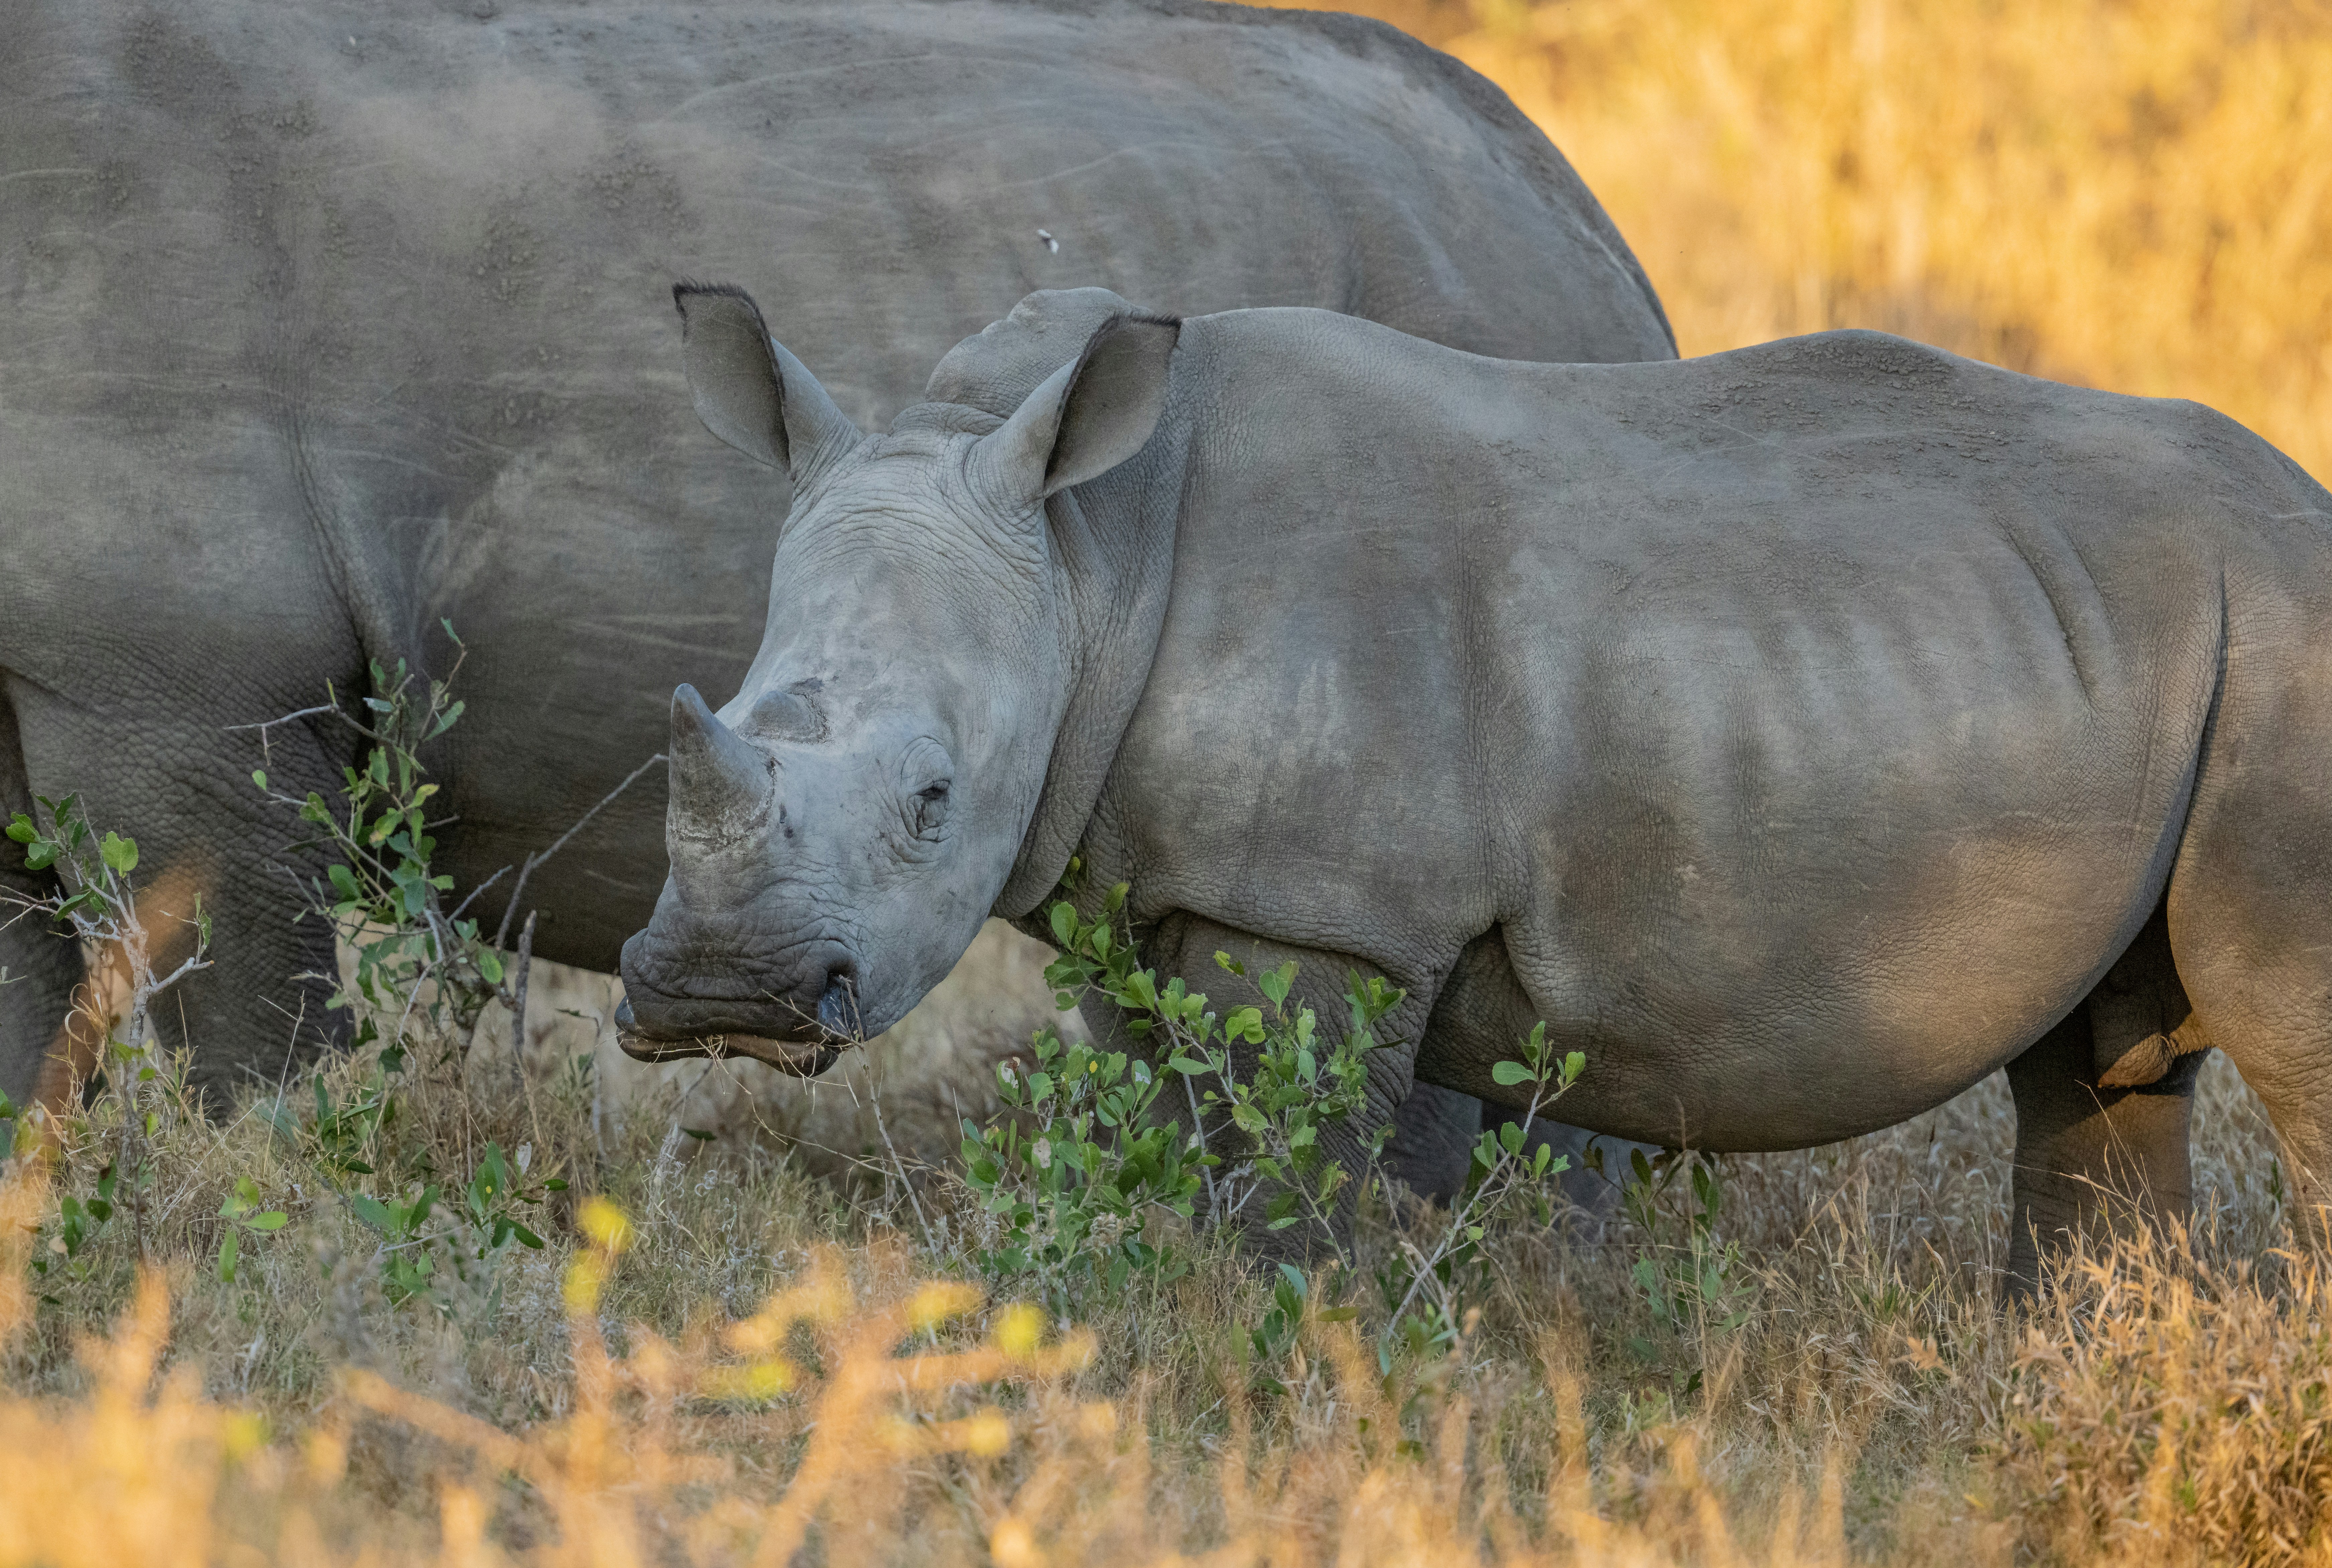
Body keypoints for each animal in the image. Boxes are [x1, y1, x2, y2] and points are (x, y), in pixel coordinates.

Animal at [620, 284, 2332, 1287]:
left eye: (932, 796)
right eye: (713, 721)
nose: (720, 994)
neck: (1091, 556)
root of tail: (2302, 505)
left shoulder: (1317, 911)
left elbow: (1287, 1184)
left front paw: (1283, 1365)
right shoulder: (1147, 884)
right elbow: (1187, 1138)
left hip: (2288, 639)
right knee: (2102, 1065)